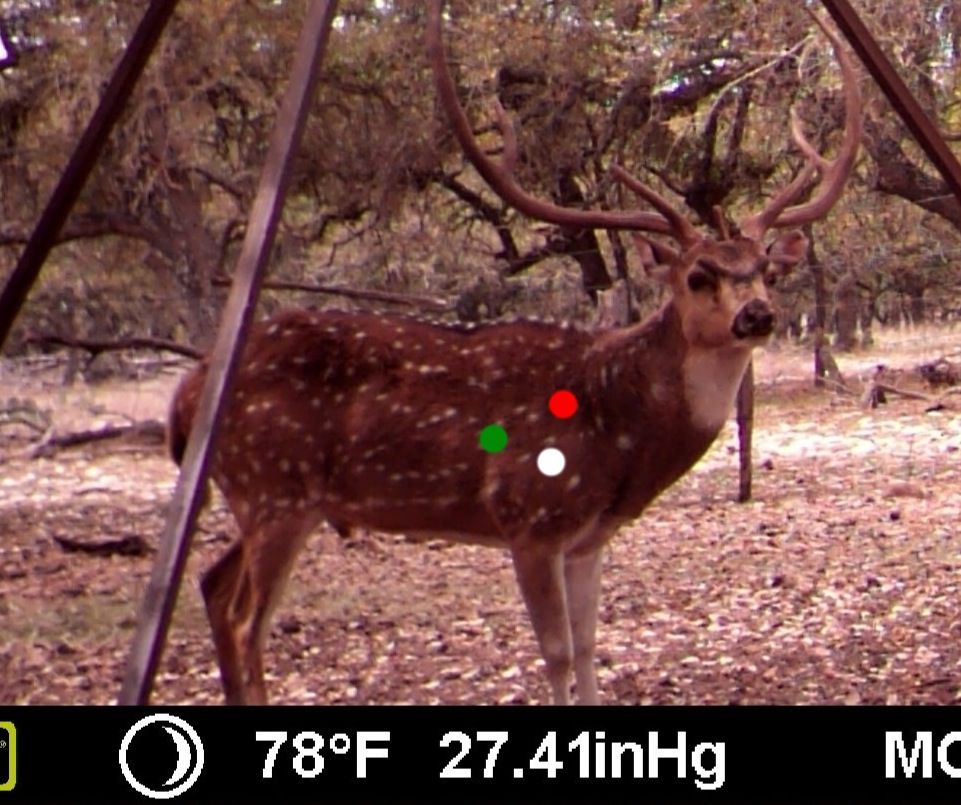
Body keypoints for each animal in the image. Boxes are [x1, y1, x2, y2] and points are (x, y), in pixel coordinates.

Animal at [167, 1, 861, 705]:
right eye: (699, 276)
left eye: (766, 271)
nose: (758, 313)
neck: (618, 427)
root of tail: (185, 396)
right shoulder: (529, 519)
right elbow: (554, 652)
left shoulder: (587, 537)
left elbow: (589, 646)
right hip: (273, 486)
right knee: (244, 619)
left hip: (271, 499)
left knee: (212, 586)